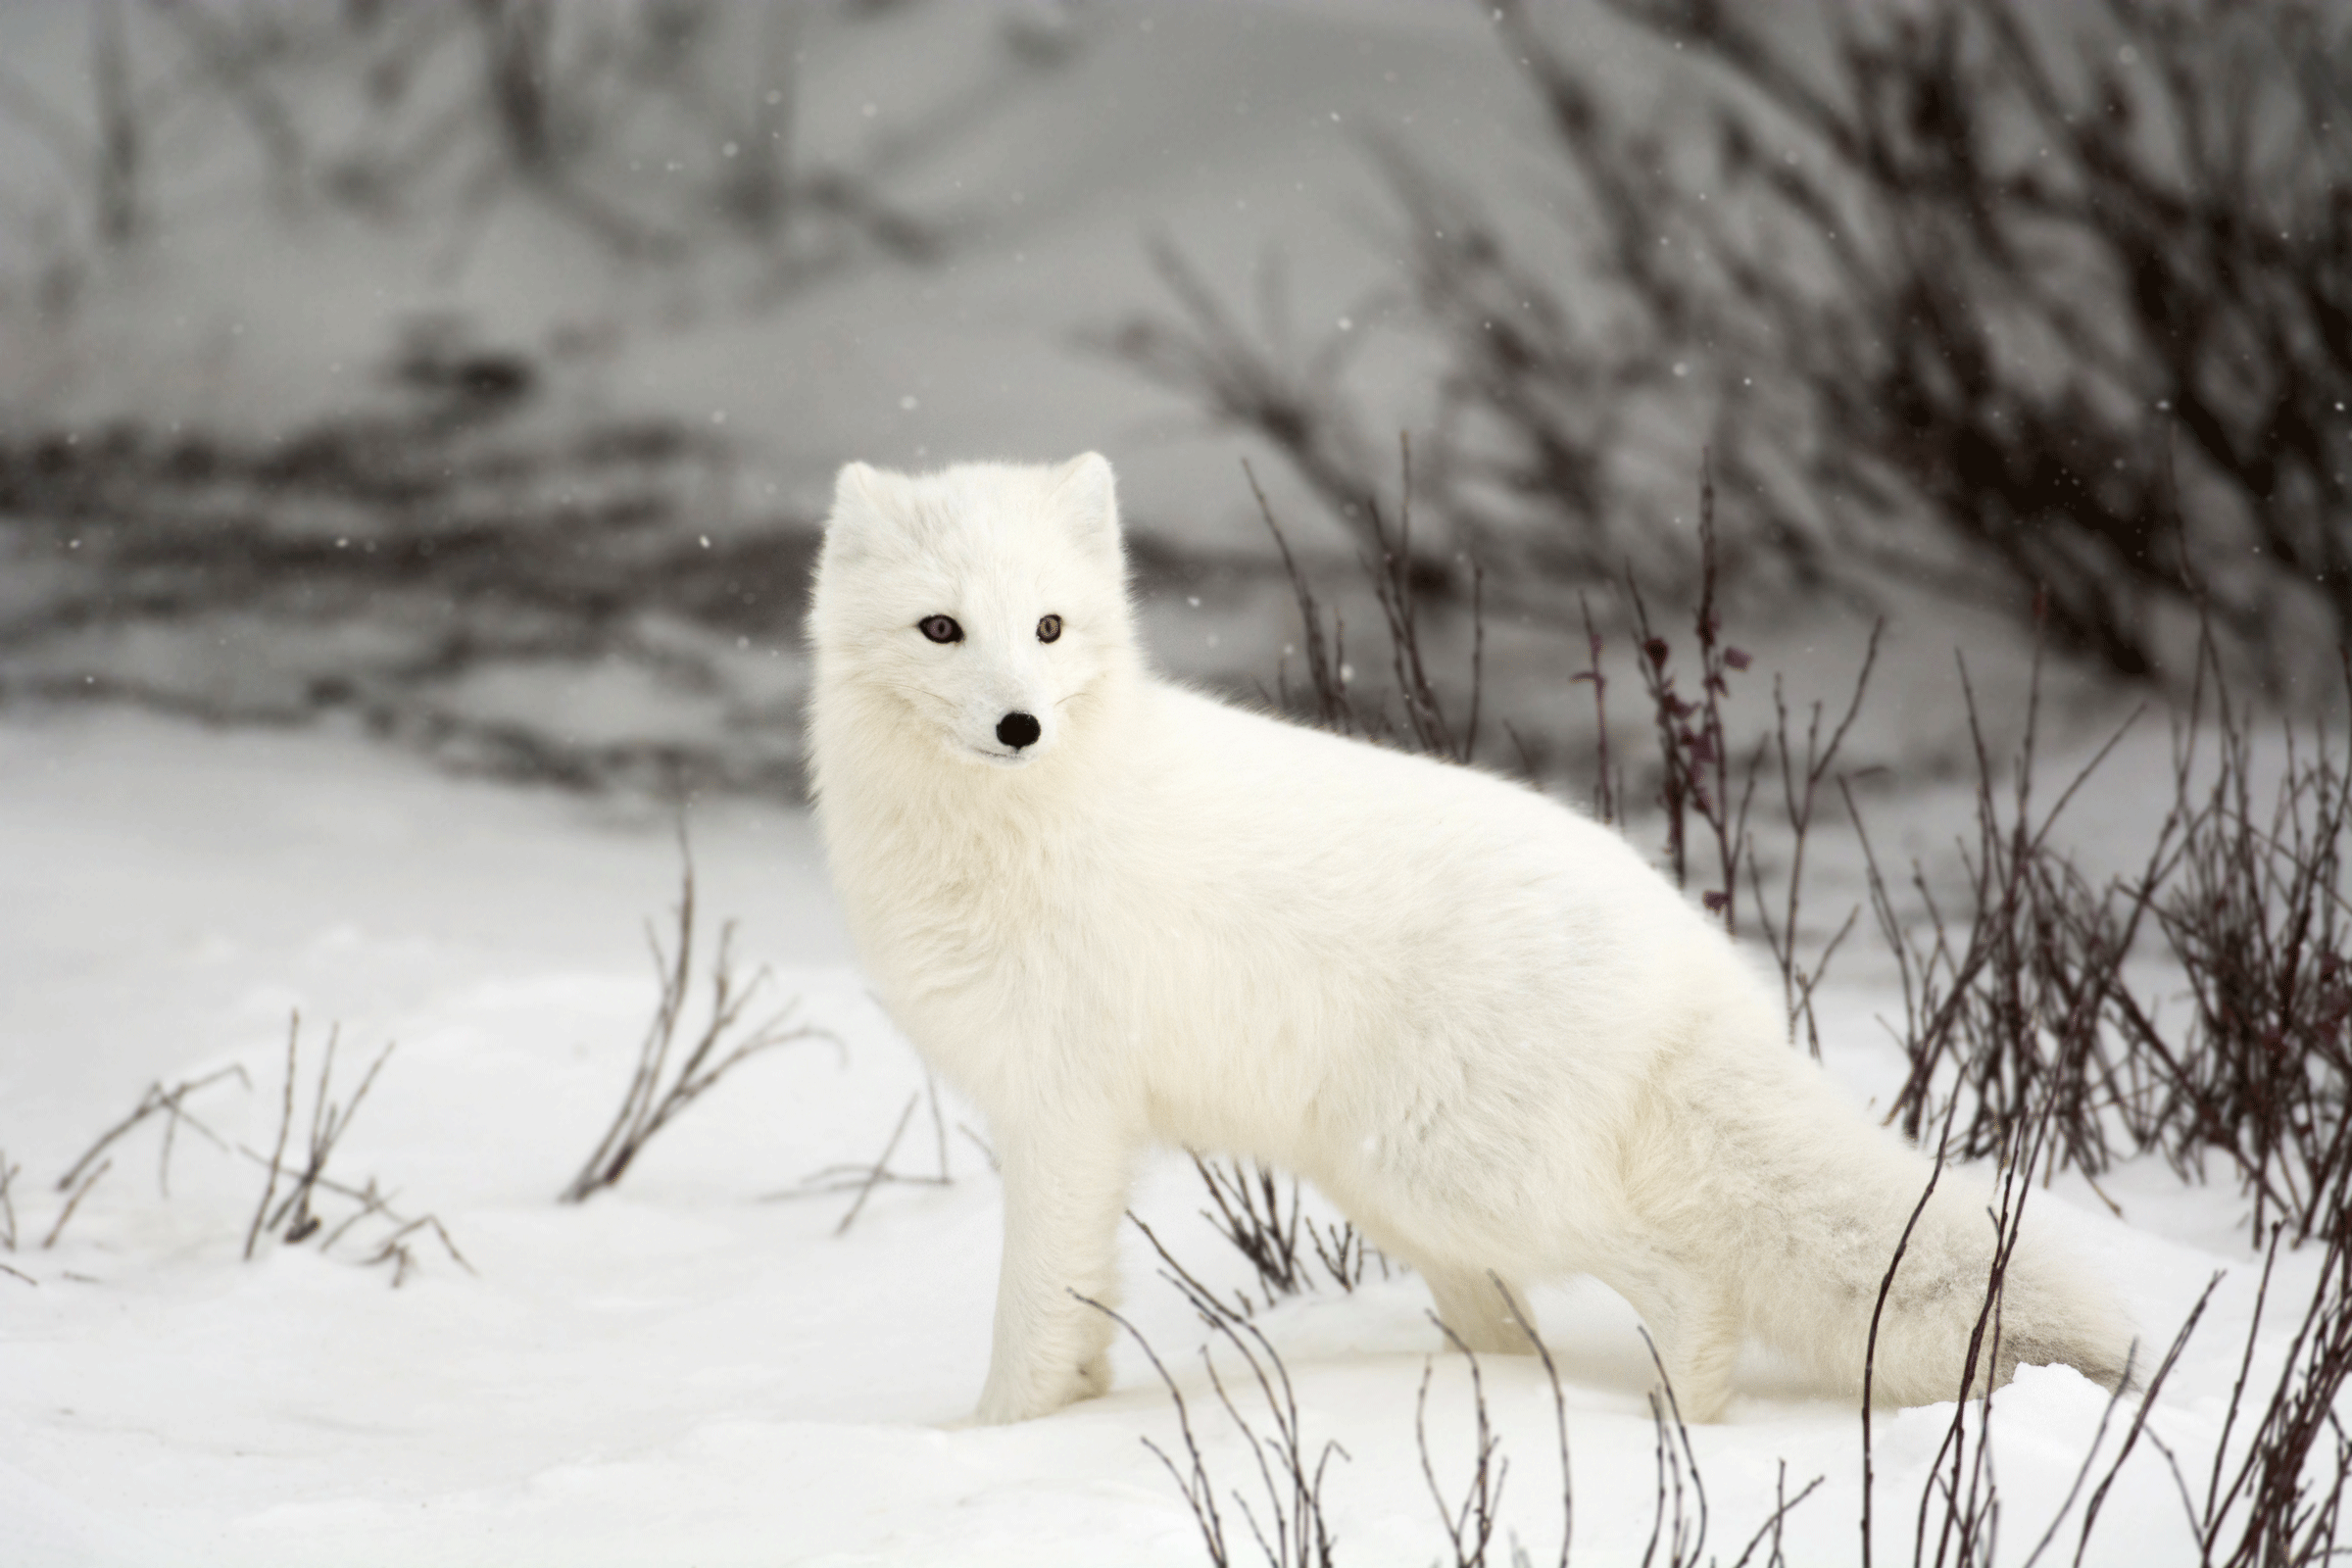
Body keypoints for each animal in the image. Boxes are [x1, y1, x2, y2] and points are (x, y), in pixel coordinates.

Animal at [805, 452, 2138, 1426]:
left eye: (1046, 627)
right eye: (940, 629)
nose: (1021, 725)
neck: (1011, 824)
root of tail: (1692, 960)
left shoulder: (1066, 1111)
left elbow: (1031, 1313)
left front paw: (994, 1445)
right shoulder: (1066, 1118)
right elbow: (1080, 1316)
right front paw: (1068, 1418)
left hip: (1448, 1178)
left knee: (1686, 1282)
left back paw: (1678, 1429)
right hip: (1402, 1198)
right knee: (1517, 1328)